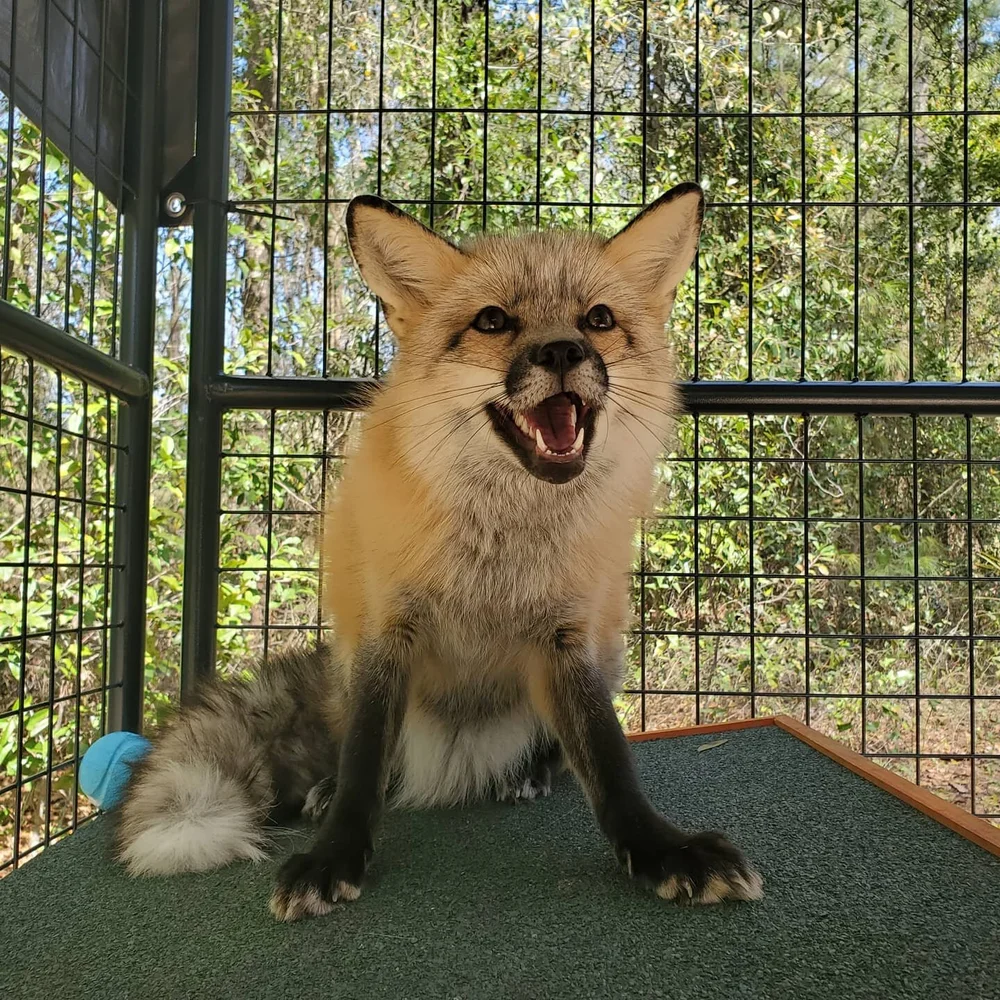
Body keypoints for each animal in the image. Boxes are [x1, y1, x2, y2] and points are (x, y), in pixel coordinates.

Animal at [115, 182, 763, 920]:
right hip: (348, 659)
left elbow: (609, 760)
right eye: (492, 320)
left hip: (609, 648)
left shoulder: (569, 638)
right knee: (362, 753)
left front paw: (662, 849)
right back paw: (328, 791)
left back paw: (530, 771)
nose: (562, 352)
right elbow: (365, 759)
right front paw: (335, 853)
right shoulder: (385, 627)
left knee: (553, 748)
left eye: (598, 318)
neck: (500, 551)